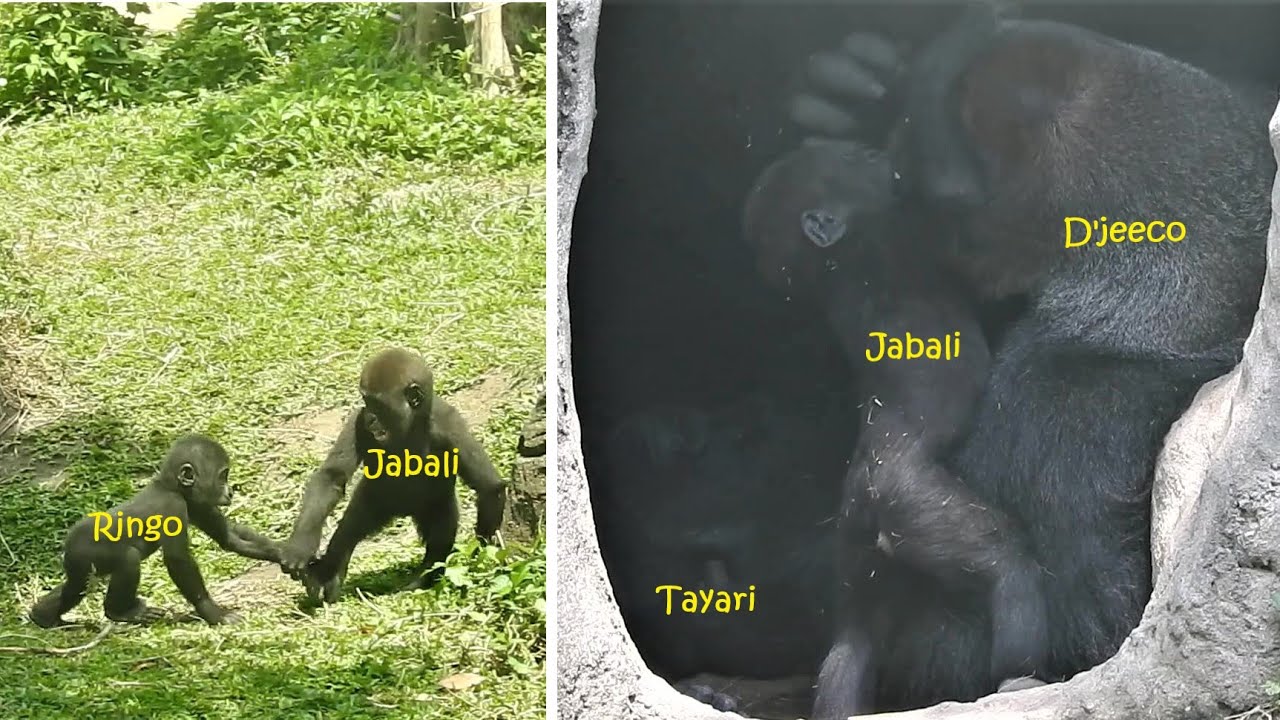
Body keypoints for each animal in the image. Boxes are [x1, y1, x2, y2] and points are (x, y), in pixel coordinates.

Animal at [29, 435, 280, 628]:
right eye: (222, 476)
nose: (230, 492)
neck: (170, 486)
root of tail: (68, 545)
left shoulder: (197, 503)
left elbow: (228, 537)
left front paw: (281, 551)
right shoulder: (173, 506)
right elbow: (178, 559)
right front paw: (212, 612)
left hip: (79, 565)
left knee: (75, 585)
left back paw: (43, 616)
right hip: (85, 551)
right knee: (127, 559)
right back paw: (119, 613)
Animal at [278, 347, 506, 604]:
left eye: (377, 404)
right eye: (366, 402)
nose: (370, 417)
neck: (410, 424)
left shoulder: (449, 422)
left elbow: (488, 487)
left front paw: (480, 554)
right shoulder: (357, 422)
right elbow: (332, 476)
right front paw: (300, 544)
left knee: (441, 530)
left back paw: (424, 576)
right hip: (377, 503)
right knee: (350, 529)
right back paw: (329, 573)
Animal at [742, 140, 1048, 715]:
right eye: (842, 159)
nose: (864, 150)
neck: (836, 259)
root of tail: (865, 487)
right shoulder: (900, 231)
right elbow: (996, 245)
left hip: (858, 534)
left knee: (852, 644)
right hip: (910, 500)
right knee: (1006, 561)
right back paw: (1023, 679)